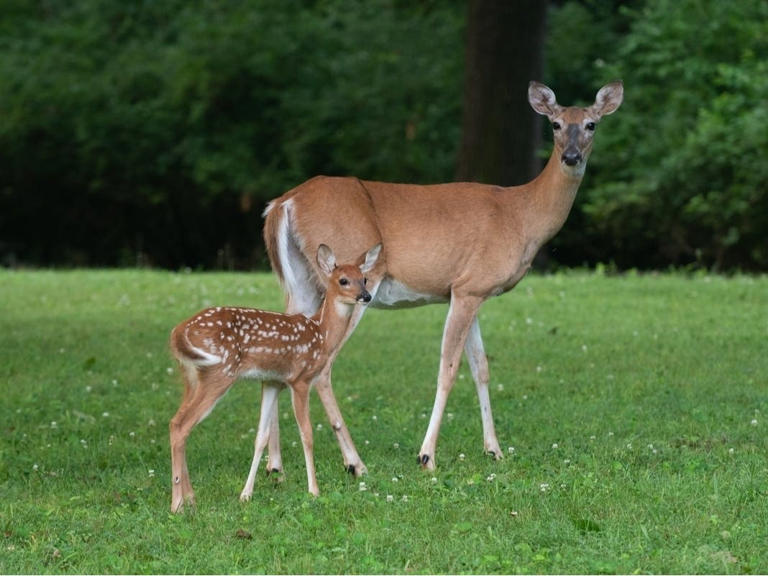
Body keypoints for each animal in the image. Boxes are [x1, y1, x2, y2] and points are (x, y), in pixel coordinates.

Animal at [168, 243, 381, 513]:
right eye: (343, 280)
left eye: (364, 278)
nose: (366, 296)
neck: (321, 334)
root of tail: (178, 331)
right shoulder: (300, 379)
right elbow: (307, 434)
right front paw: (314, 491)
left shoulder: (271, 382)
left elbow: (261, 437)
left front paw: (246, 494)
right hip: (219, 372)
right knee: (181, 425)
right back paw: (178, 503)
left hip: (191, 378)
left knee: (177, 423)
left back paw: (190, 497)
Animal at [260, 81, 623, 474]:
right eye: (555, 124)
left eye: (591, 124)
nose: (571, 157)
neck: (522, 215)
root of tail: (283, 203)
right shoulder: (469, 288)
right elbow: (448, 370)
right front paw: (426, 455)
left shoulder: (470, 289)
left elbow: (481, 368)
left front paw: (494, 450)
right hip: (352, 279)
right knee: (324, 366)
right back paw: (354, 463)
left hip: (301, 283)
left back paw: (275, 466)